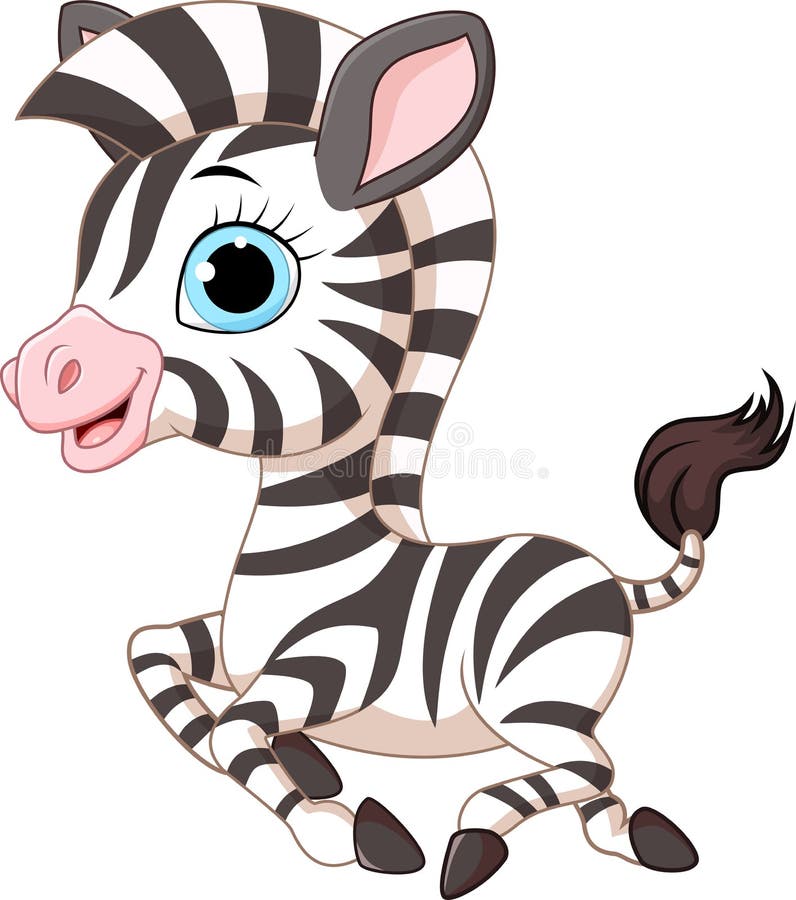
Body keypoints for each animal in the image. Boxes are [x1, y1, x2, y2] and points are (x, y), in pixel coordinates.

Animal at [3, 2, 792, 897]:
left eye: (235, 276)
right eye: (87, 251)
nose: (37, 377)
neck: (308, 554)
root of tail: (608, 577)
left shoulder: (330, 665)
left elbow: (234, 733)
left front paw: (344, 829)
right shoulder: (226, 653)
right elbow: (157, 665)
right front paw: (317, 778)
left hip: (526, 701)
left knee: (590, 764)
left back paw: (480, 837)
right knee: (598, 780)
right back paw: (641, 837)